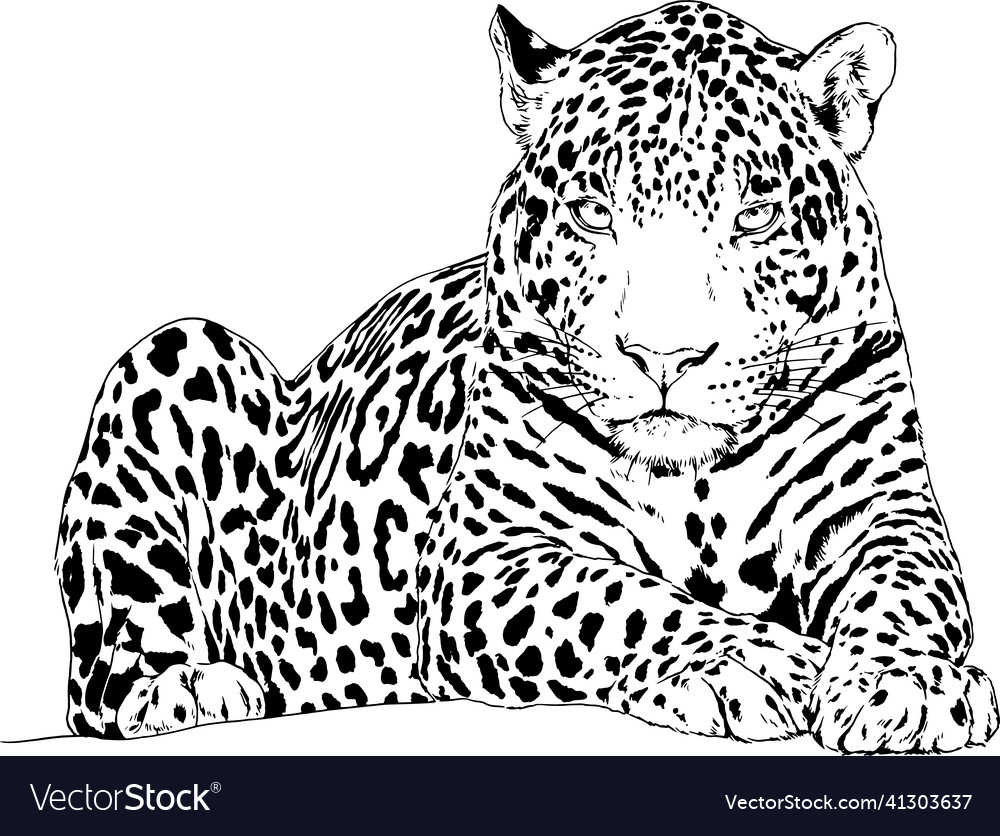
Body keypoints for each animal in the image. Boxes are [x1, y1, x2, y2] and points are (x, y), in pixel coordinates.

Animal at [54, 2, 998, 753]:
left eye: (756, 216)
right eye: (592, 212)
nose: (664, 357)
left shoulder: (883, 509)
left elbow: (909, 591)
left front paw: (909, 687)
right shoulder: (490, 554)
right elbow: (616, 598)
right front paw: (751, 660)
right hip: (175, 353)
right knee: (100, 673)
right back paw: (186, 687)